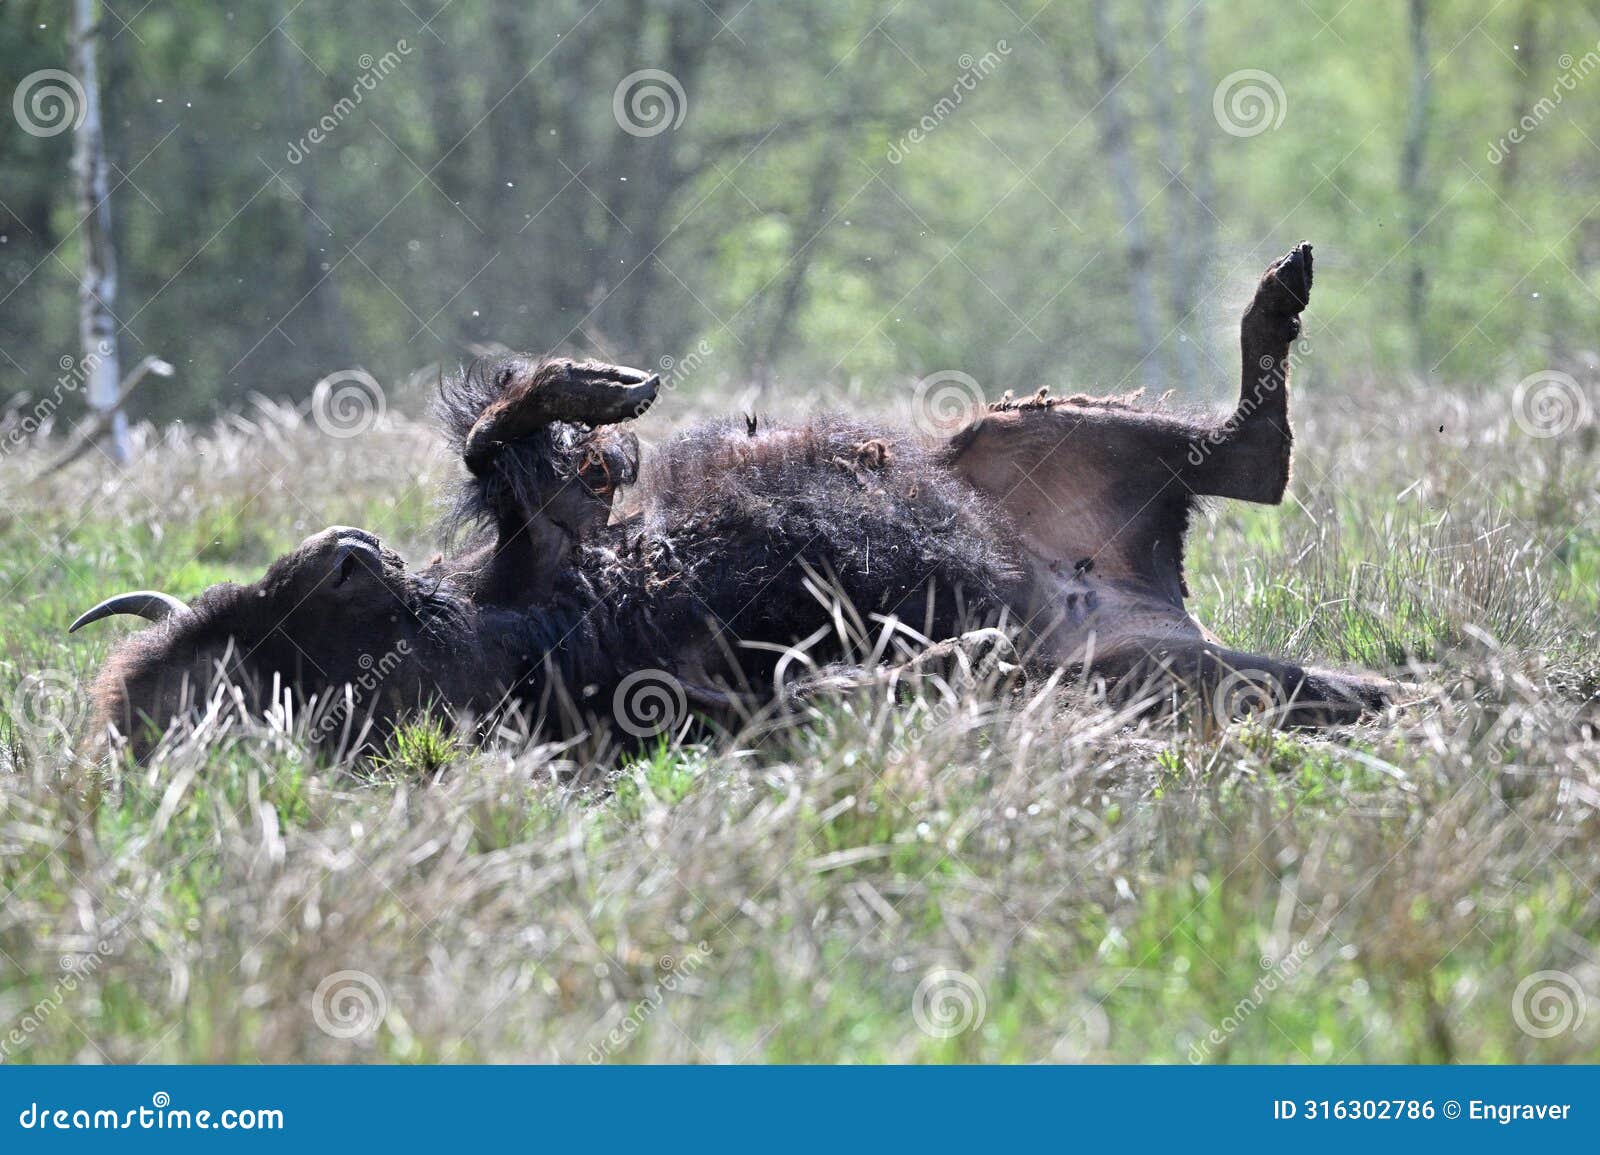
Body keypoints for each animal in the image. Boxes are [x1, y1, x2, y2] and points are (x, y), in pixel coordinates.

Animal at [73, 242, 1391, 757]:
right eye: (252, 662)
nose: (347, 550)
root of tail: (1141, 621)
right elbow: (502, 463)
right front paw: (590, 391)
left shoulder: (554, 548)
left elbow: (515, 455)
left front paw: (594, 386)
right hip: (1073, 659)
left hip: (1020, 437)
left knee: (1249, 453)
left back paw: (1281, 290)